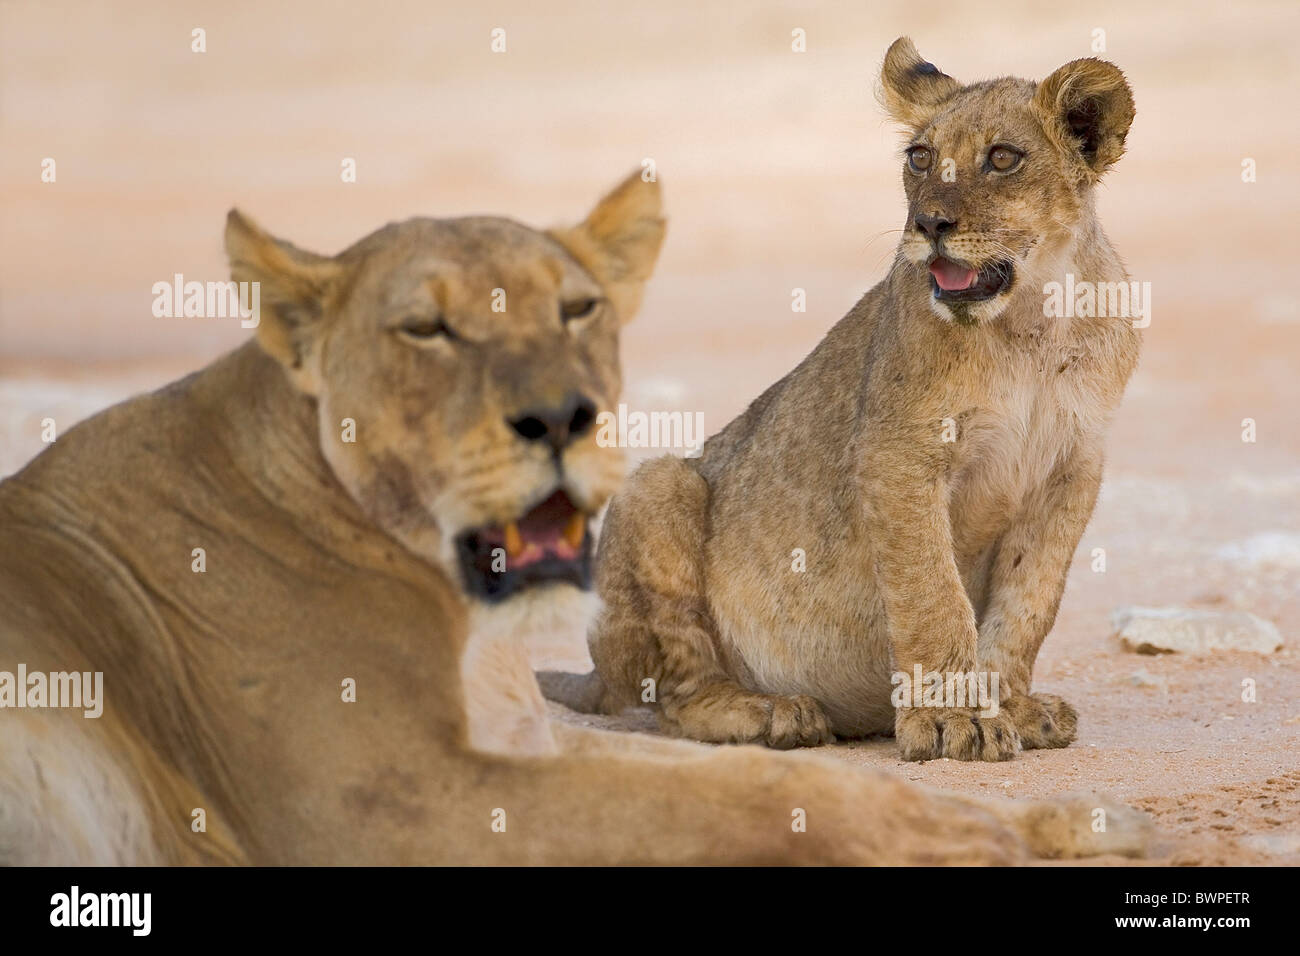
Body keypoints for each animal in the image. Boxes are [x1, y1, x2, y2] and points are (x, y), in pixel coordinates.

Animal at [0, 168, 1148, 864]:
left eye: (578, 307)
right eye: (424, 329)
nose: (560, 414)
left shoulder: (518, 742)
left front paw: (1054, 809)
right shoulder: (393, 806)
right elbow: (732, 797)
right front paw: (962, 825)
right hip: (662, 487)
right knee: (686, 687)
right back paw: (763, 708)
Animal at [542, 39, 1142, 763]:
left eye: (1003, 158)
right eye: (919, 158)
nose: (929, 223)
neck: (1032, 318)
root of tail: (597, 673)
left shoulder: (1071, 469)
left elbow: (1030, 601)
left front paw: (1013, 706)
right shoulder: (898, 452)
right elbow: (932, 594)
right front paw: (954, 718)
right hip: (657, 487)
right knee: (678, 697)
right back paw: (772, 713)